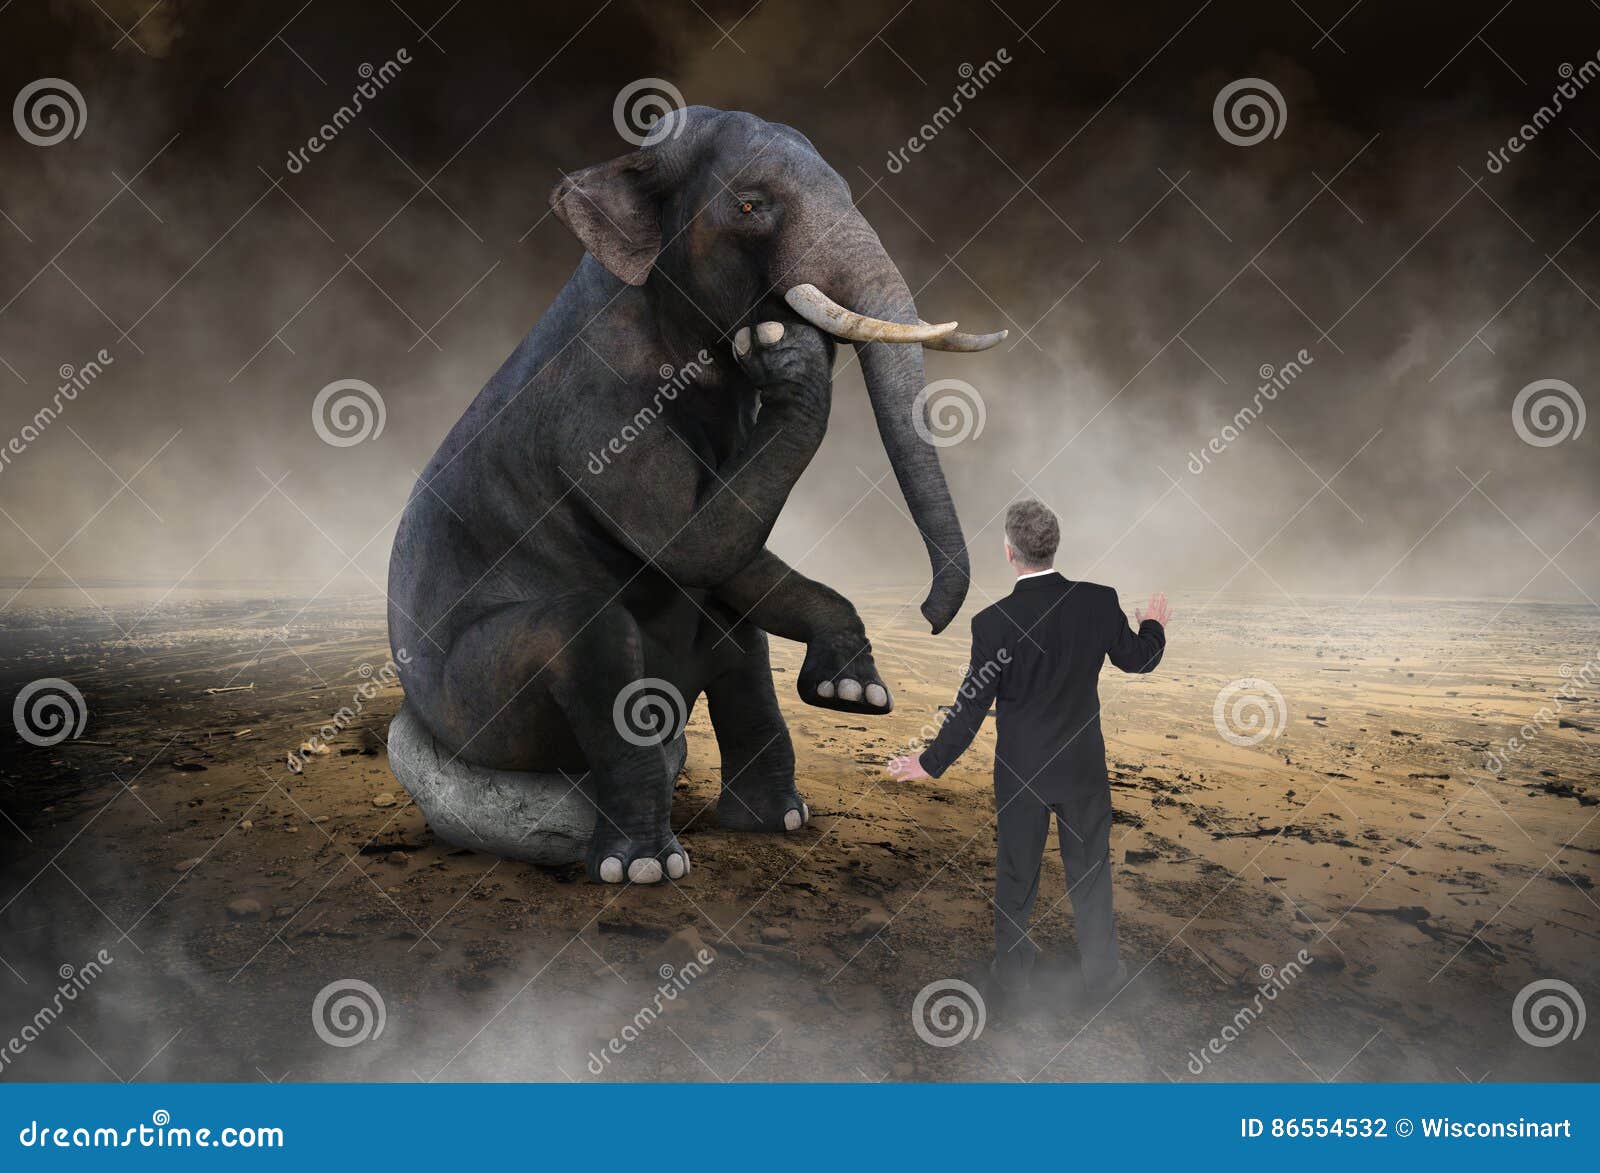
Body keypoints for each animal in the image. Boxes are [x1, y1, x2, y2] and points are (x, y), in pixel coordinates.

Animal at [385, 105, 1004, 884]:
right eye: (750, 206)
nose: (928, 615)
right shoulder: (597, 413)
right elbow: (689, 544)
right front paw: (785, 348)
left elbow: (733, 547)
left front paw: (854, 694)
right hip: (474, 710)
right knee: (591, 637)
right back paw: (644, 869)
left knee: (736, 636)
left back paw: (775, 821)